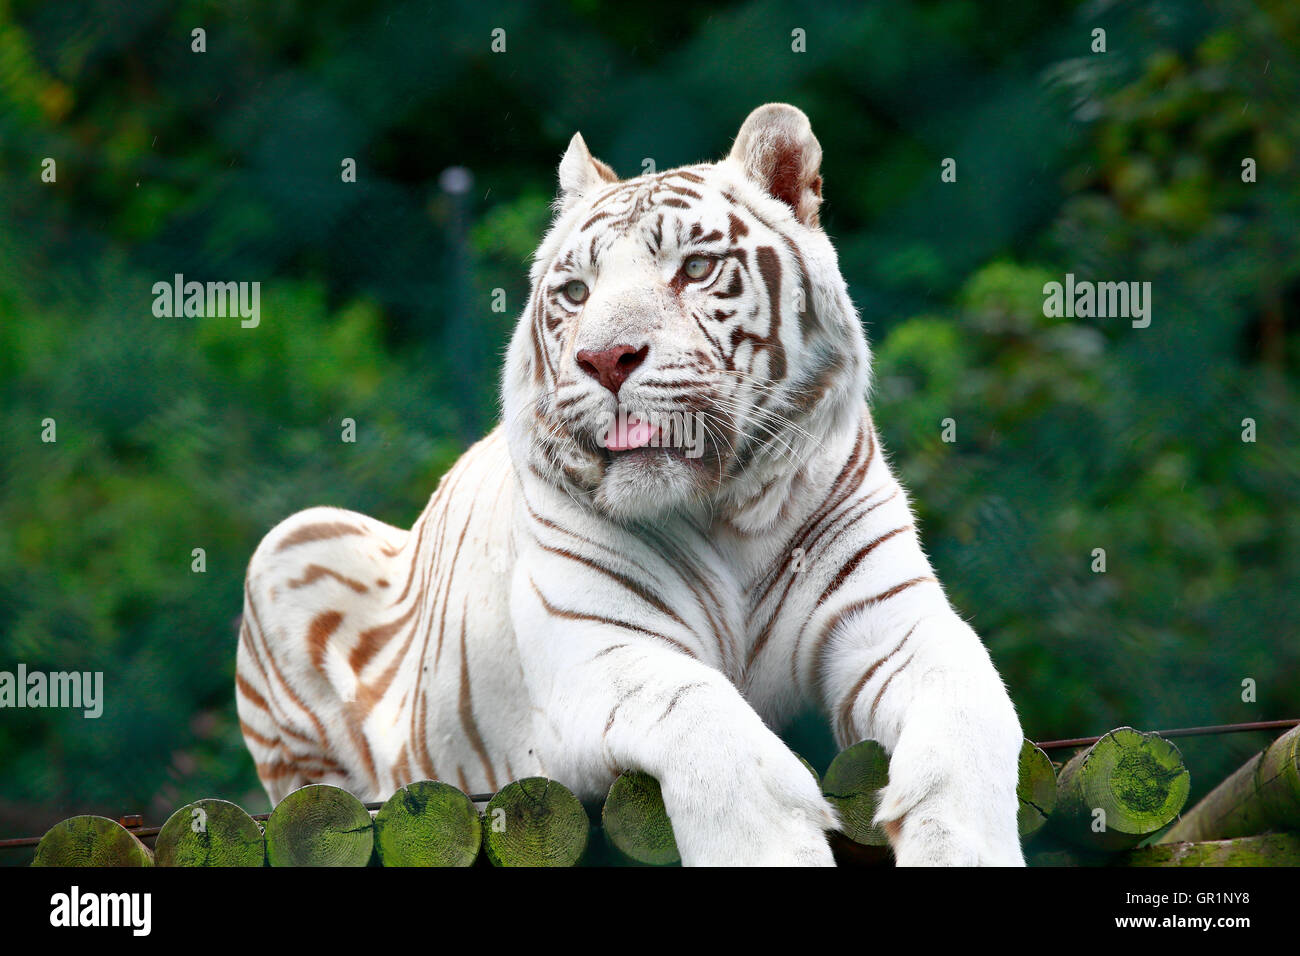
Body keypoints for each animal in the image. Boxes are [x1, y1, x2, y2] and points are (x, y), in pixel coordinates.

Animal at [235, 103, 1026, 866]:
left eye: (697, 267)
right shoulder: (598, 654)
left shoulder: (896, 624)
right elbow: (705, 715)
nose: (606, 358)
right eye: (575, 291)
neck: (728, 512)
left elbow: (971, 710)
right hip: (292, 543)